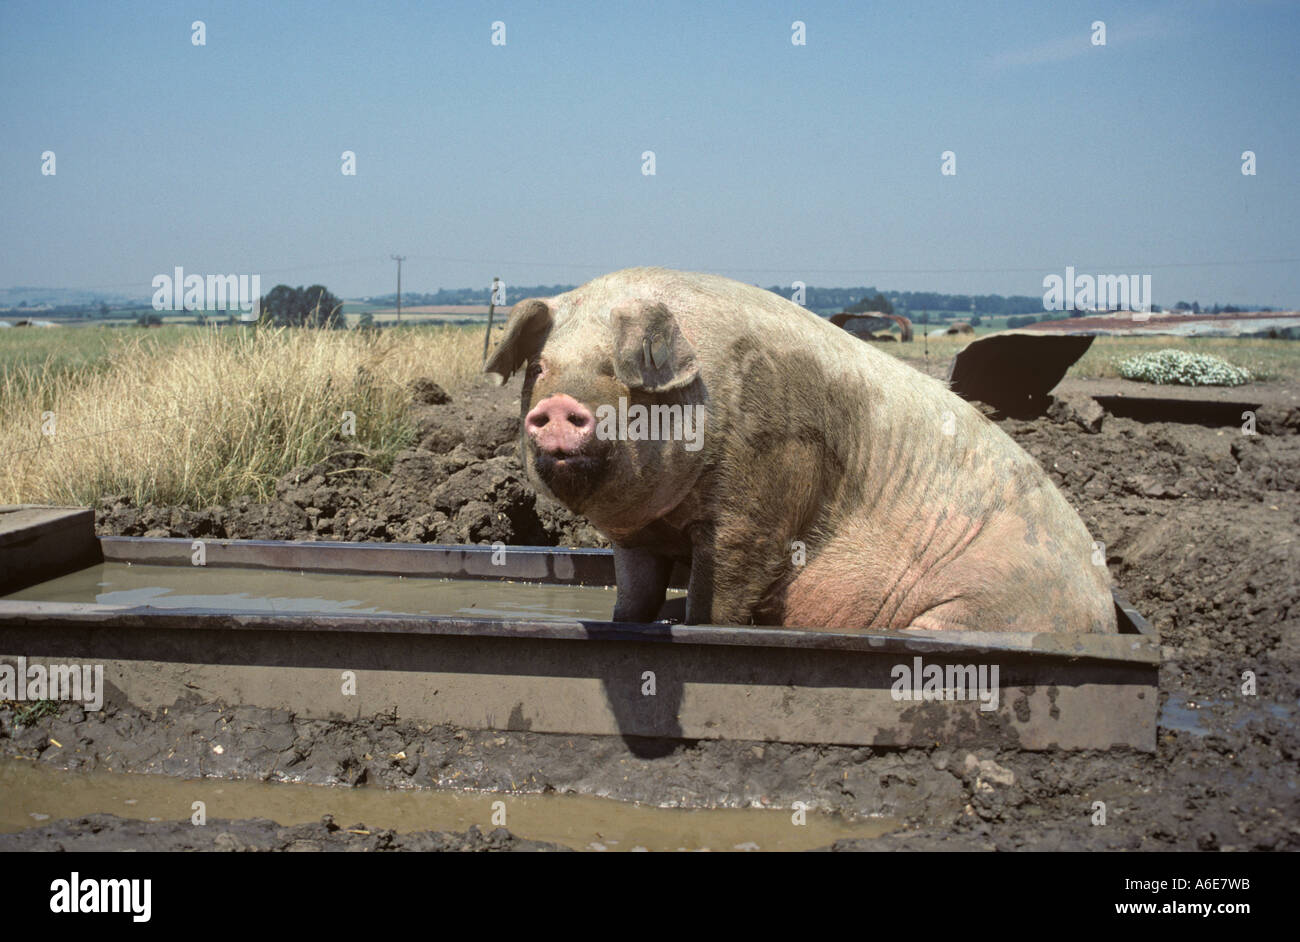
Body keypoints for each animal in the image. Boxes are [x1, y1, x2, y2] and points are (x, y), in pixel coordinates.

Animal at [485, 268, 1116, 634]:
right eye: (540, 368)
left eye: (616, 369)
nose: (558, 405)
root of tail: (1105, 612)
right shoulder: (637, 538)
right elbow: (632, 600)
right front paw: (624, 621)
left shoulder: (761, 497)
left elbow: (716, 598)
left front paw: (701, 627)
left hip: (981, 606)